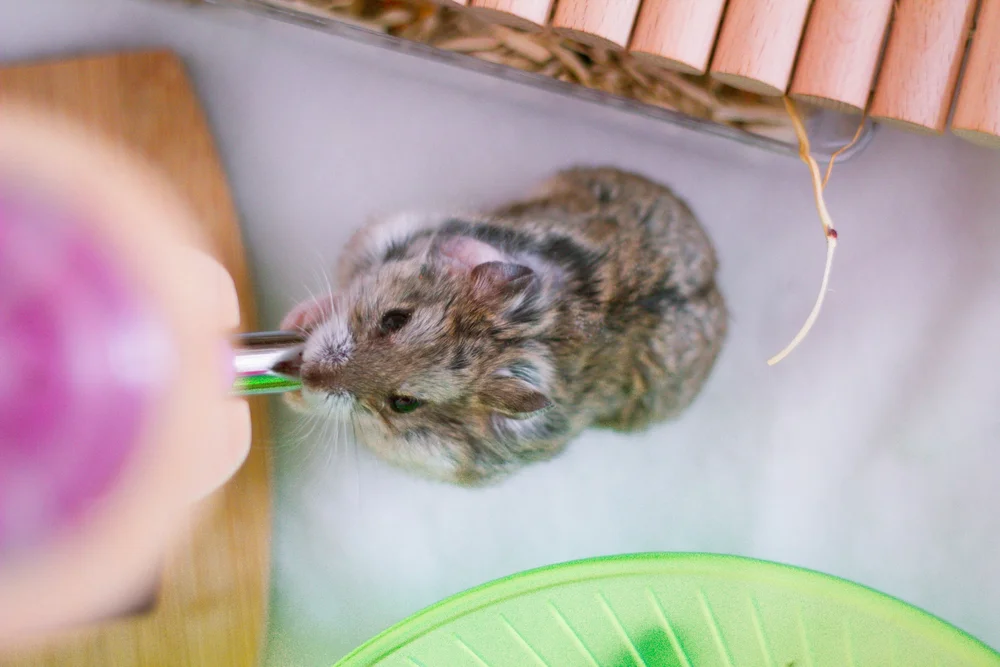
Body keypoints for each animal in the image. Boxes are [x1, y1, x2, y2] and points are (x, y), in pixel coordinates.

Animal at [280, 167, 727, 485]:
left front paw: (292, 392)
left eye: (405, 403)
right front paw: (297, 320)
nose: (309, 375)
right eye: (394, 319)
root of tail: (721, 298)